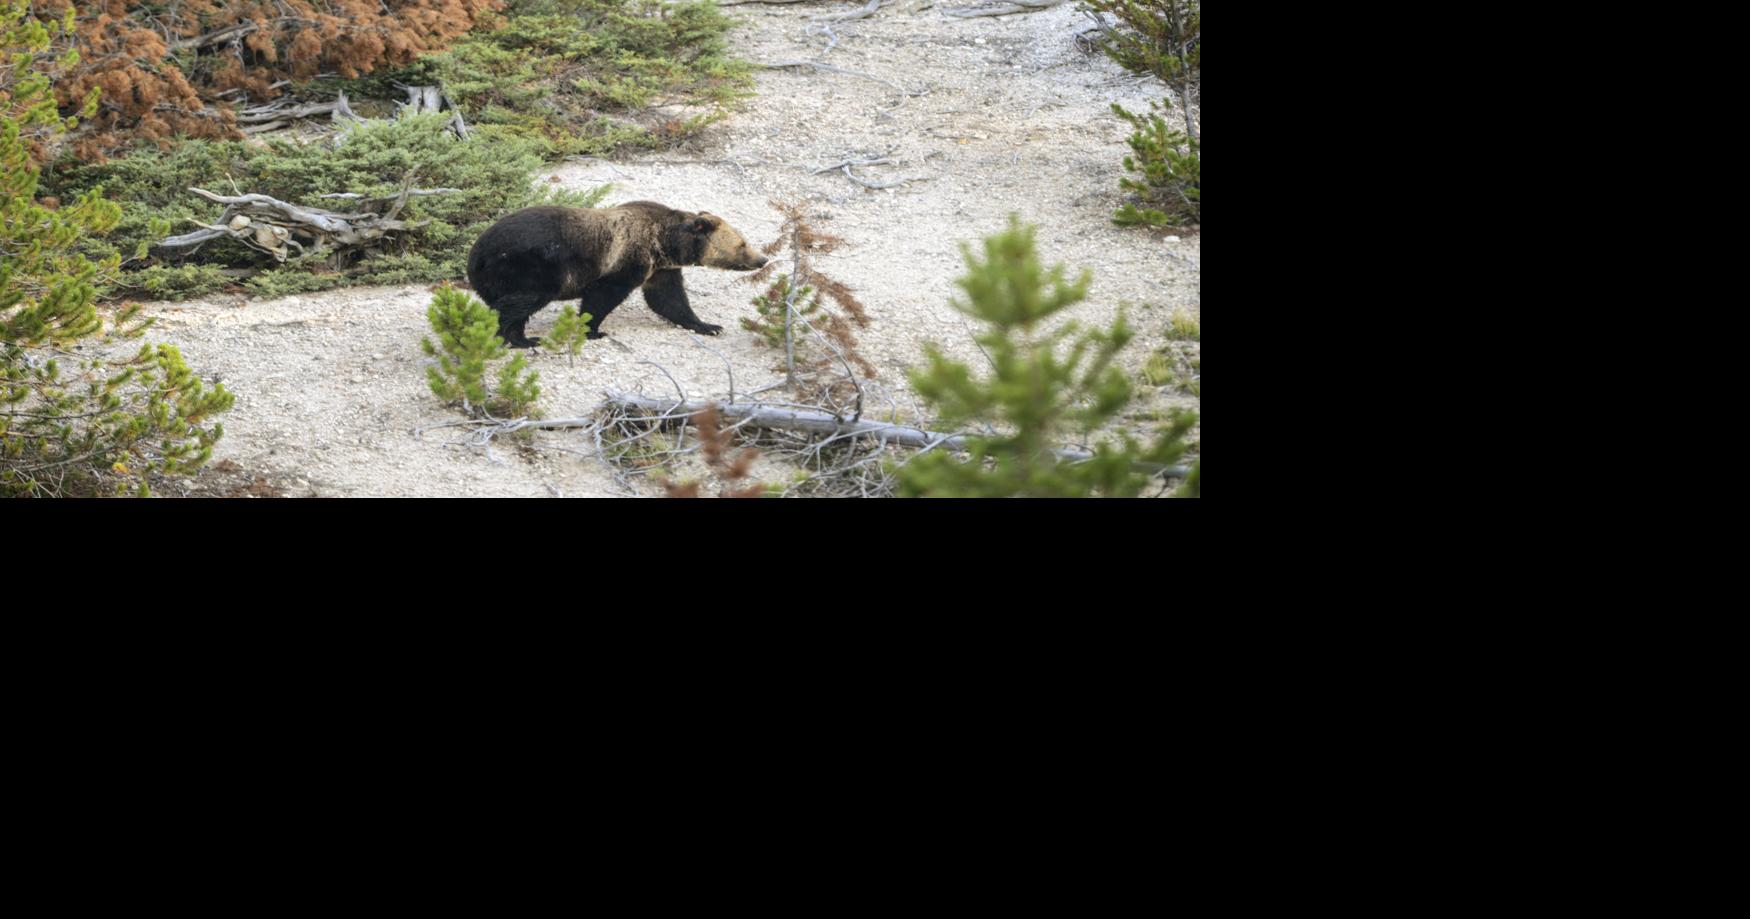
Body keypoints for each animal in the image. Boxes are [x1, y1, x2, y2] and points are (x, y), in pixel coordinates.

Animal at [465, 201, 768, 348]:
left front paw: (708, 325)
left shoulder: (660, 269)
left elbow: (670, 300)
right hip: (530, 265)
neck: (666, 242)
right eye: (742, 244)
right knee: (521, 301)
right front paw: (594, 330)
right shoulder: (627, 259)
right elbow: (602, 296)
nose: (762, 259)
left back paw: (520, 337)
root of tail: (475, 256)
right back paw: (517, 338)